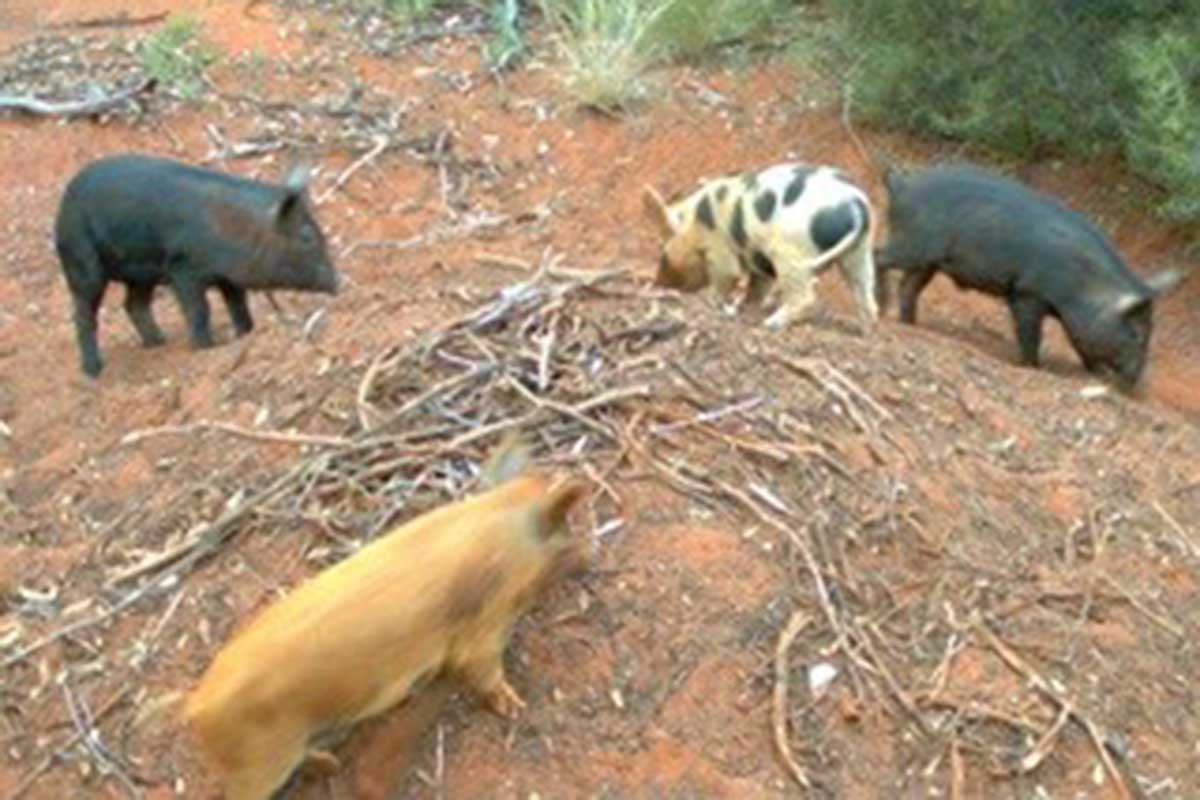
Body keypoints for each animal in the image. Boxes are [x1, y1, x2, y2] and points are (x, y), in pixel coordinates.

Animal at [53, 154, 341, 377]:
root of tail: (63, 204)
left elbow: (239, 309)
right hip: (81, 260)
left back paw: (159, 343)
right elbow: (200, 310)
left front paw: (243, 334)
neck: (240, 231)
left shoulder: (229, 280)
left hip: (142, 274)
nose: (339, 283)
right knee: (83, 313)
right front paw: (206, 347)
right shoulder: (182, 268)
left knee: (134, 305)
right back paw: (94, 370)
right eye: (306, 236)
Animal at [183, 432, 590, 800]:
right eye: (566, 528)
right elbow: (486, 673)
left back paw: (332, 765)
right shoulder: (481, 633)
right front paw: (516, 707)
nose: (590, 556)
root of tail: (197, 704)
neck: (503, 539)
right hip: (260, 764)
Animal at [643, 163, 878, 333]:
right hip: (860, 251)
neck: (695, 222)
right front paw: (742, 308)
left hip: (791, 250)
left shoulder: (720, 248)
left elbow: (726, 276)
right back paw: (862, 330)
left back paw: (770, 324)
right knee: (865, 293)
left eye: (663, 254)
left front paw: (716, 304)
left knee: (806, 296)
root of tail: (857, 208)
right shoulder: (758, 261)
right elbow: (757, 288)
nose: (657, 283)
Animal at [875, 164, 1186, 389]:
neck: (1084, 286)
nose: (1137, 384)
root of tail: (902, 184)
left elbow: (1079, 343)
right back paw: (880, 306)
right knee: (879, 255)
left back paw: (910, 324)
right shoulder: (1028, 292)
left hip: (927, 260)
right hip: (913, 244)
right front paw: (1033, 367)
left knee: (909, 286)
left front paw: (1096, 373)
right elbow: (1031, 334)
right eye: (1136, 333)